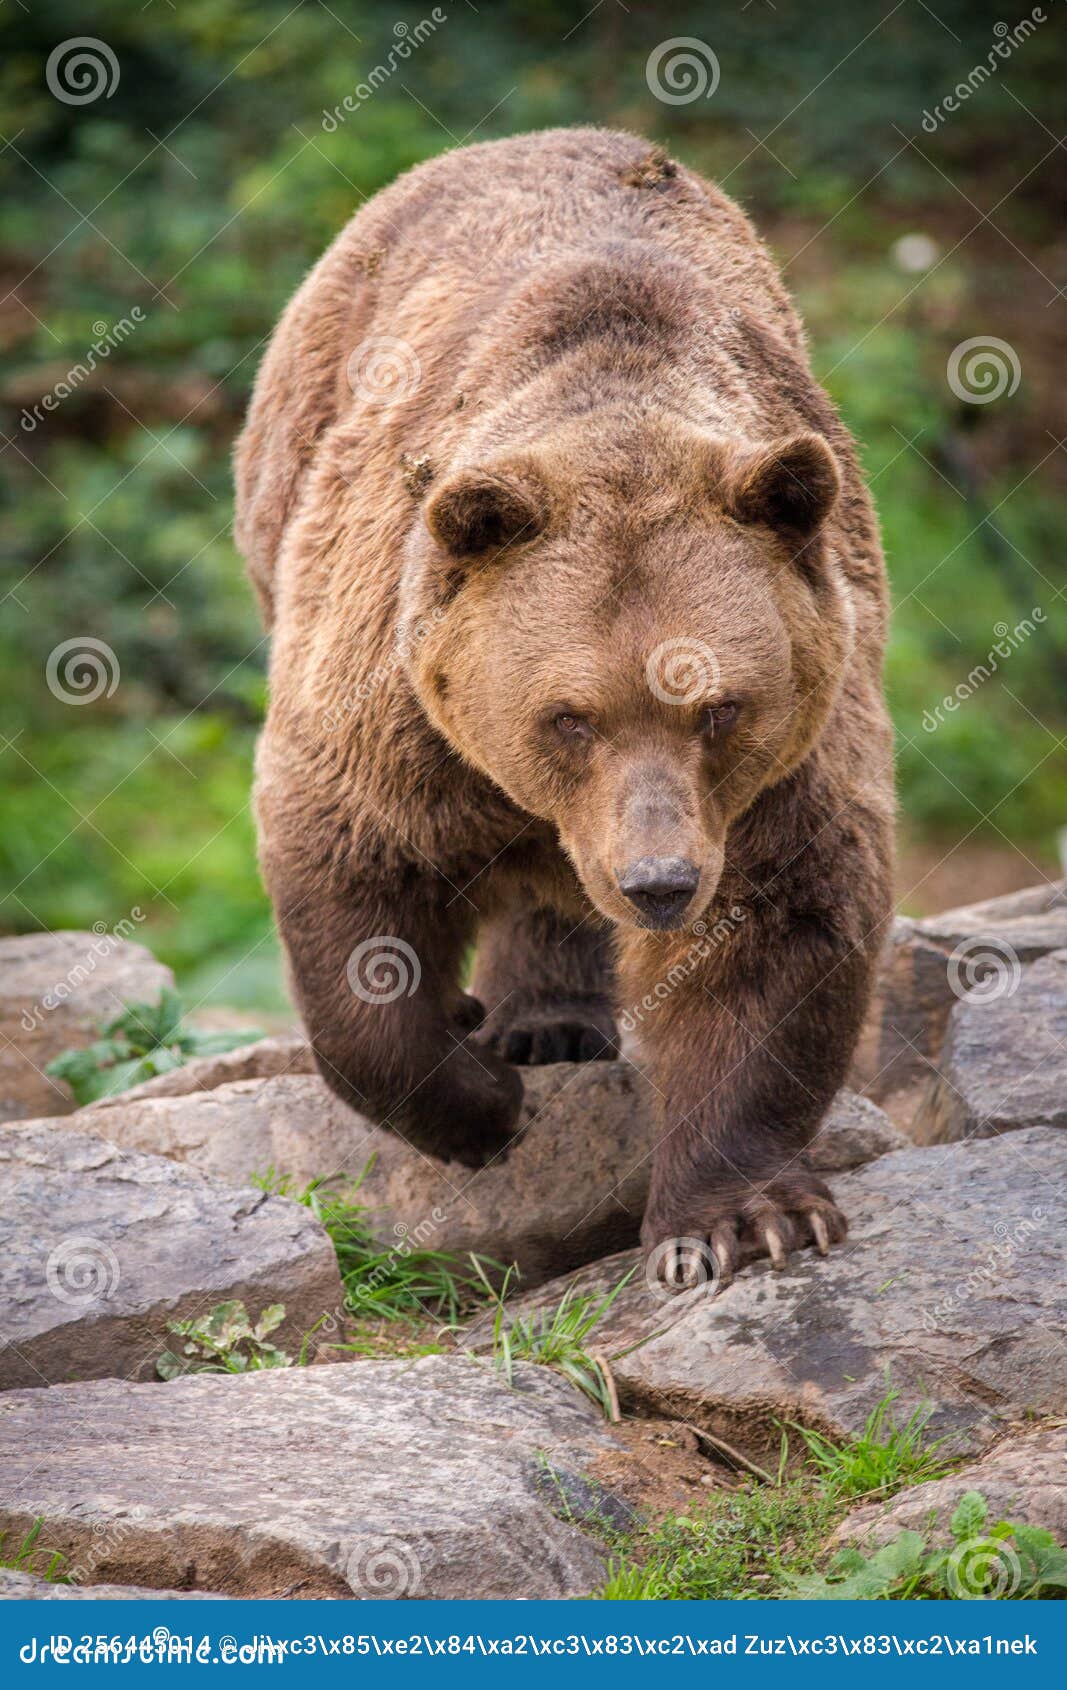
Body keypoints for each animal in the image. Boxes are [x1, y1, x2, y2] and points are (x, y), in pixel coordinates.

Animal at [234, 126, 894, 1290]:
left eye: (719, 709)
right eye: (569, 715)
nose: (658, 882)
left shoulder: (790, 745)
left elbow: (778, 921)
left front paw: (740, 1216)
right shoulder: (397, 694)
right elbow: (351, 870)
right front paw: (477, 1104)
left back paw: (548, 1020)